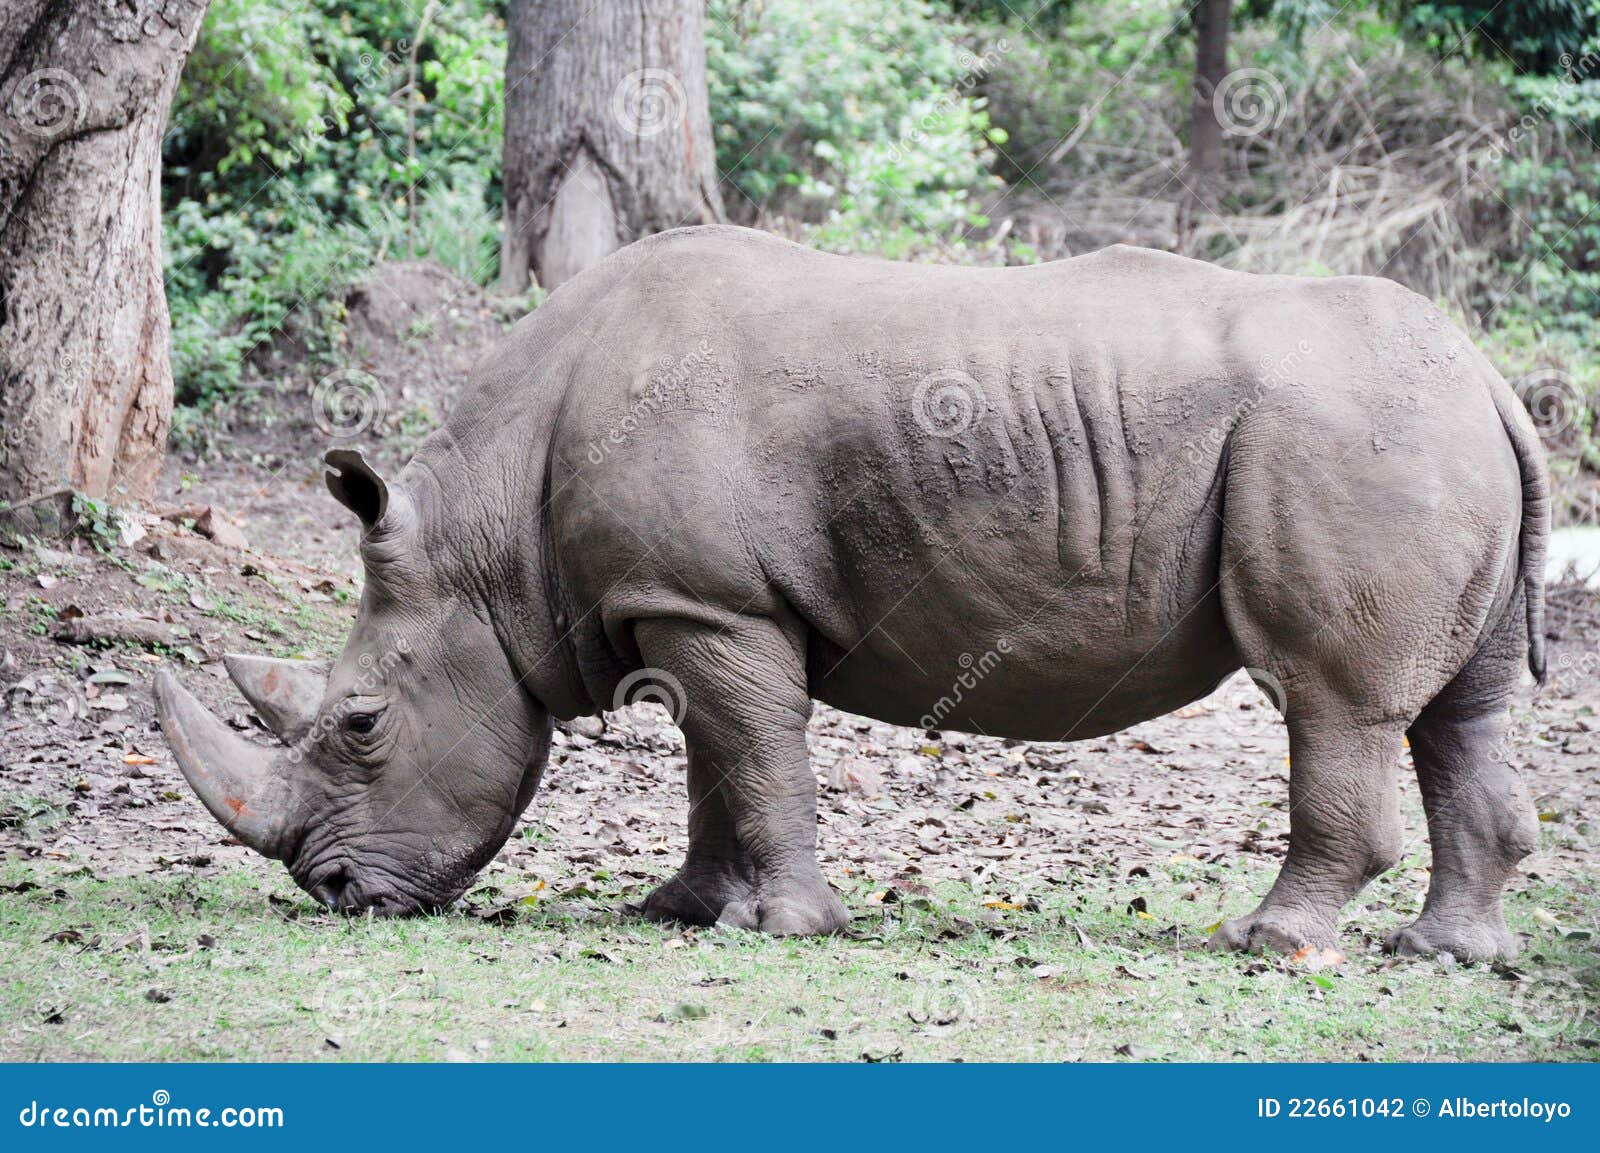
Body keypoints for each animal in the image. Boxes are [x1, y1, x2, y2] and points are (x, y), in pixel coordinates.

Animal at [156, 225, 1548, 961]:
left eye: (360, 725)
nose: (333, 893)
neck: (485, 535)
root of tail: (1488, 374)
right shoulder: (685, 600)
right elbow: (715, 759)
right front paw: (684, 909)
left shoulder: (710, 601)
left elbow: (756, 753)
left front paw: (781, 927)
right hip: (1417, 424)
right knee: (1459, 710)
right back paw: (1445, 953)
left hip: (1347, 430)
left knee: (1330, 698)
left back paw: (1272, 942)